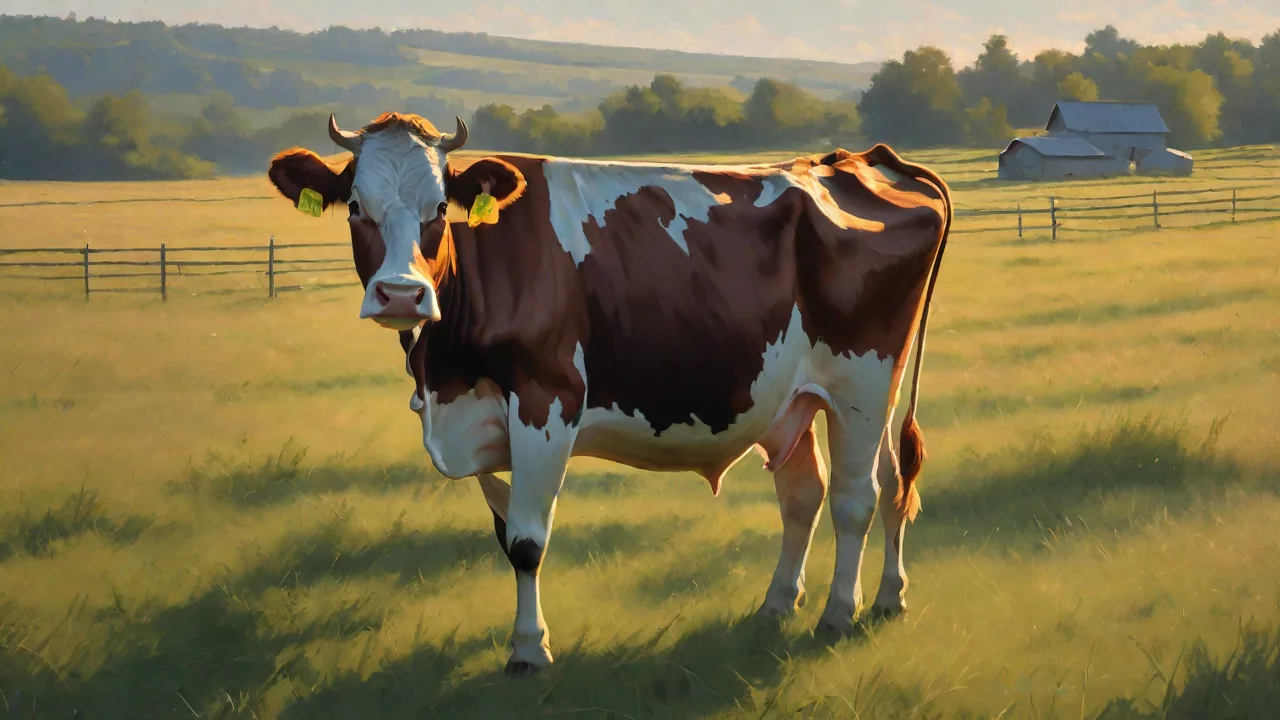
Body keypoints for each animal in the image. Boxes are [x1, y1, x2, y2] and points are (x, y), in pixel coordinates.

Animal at [266, 112, 952, 677]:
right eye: (356, 207)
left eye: (439, 208)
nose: (402, 295)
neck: (445, 373)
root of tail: (859, 159)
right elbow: (504, 529)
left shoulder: (546, 400)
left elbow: (526, 541)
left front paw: (528, 650)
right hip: (807, 395)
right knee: (843, 487)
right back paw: (835, 601)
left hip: (862, 378)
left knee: (855, 498)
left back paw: (839, 614)